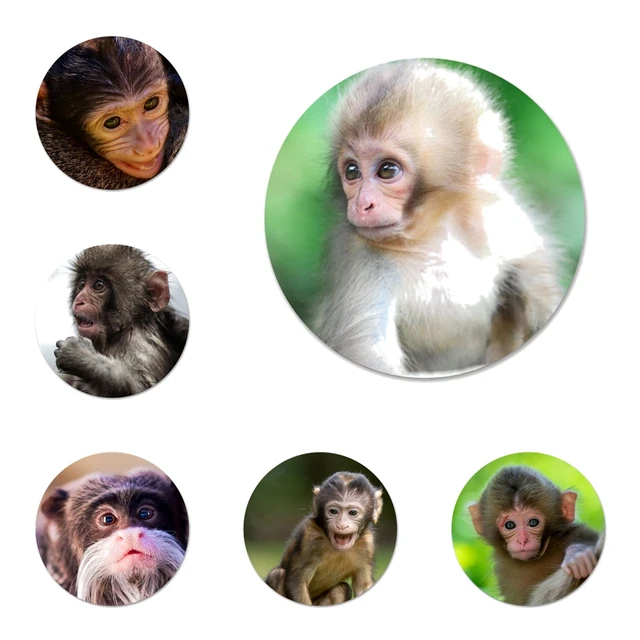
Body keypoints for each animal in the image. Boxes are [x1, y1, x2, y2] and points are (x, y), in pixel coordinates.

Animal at [53, 244, 189, 397]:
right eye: (81, 285)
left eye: (98, 285)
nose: (78, 301)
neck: (121, 332)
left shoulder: (141, 345)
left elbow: (139, 386)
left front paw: (81, 357)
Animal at [265, 472, 383, 605]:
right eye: (333, 511)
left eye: (352, 513)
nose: (341, 525)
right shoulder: (309, 538)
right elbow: (297, 582)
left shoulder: (368, 544)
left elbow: (363, 585)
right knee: (277, 575)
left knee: (340, 589)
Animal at [313, 60, 564, 376]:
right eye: (352, 171)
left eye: (387, 170)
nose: (361, 204)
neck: (434, 236)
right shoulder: (361, 258)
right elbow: (370, 353)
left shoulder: (501, 217)